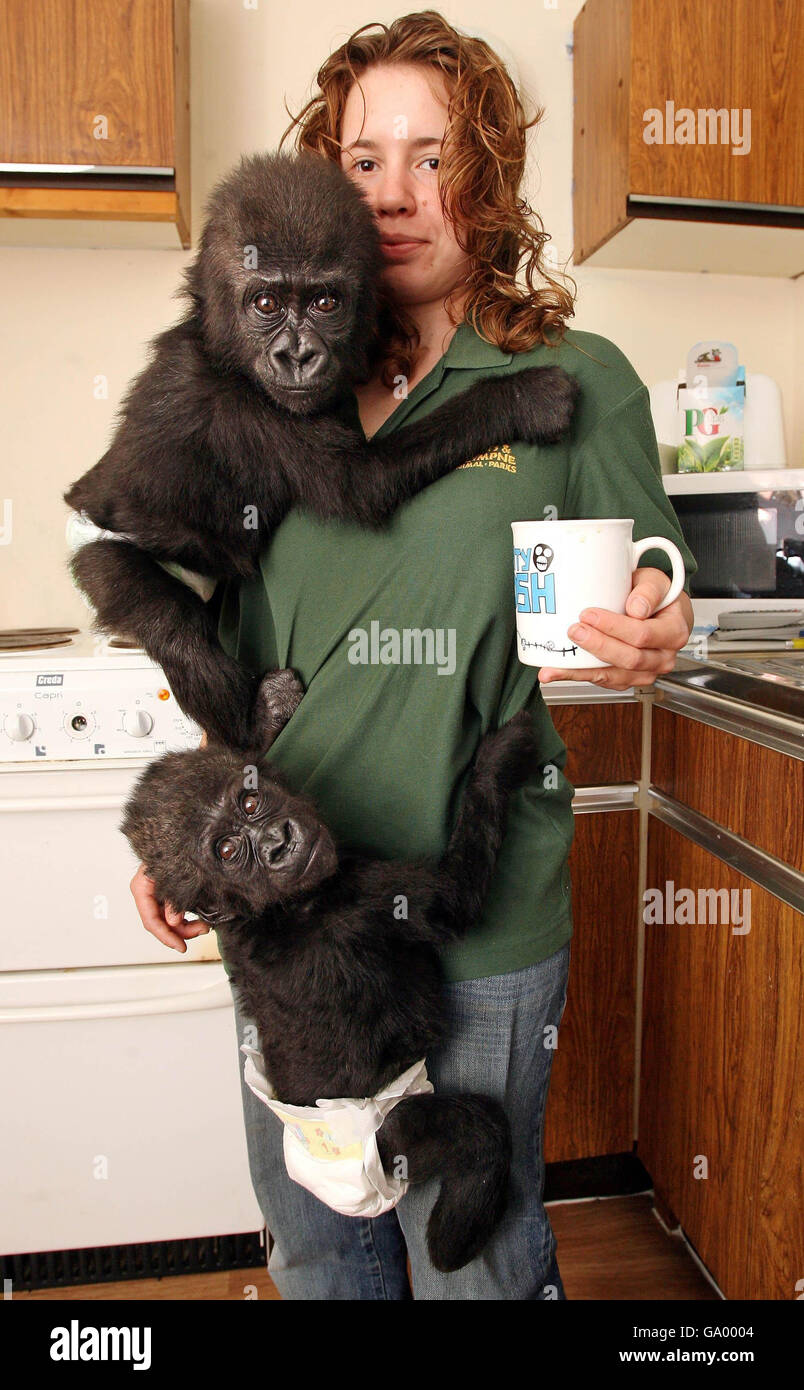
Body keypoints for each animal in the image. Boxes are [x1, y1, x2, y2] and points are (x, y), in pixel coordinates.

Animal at [64, 151, 580, 750]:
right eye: (265, 302)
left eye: (325, 301)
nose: (297, 356)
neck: (221, 348)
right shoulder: (244, 409)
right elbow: (362, 484)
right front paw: (523, 397)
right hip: (100, 551)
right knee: (170, 626)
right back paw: (255, 719)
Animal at [120, 673, 540, 1273]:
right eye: (228, 850)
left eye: (251, 800)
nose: (277, 844)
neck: (266, 911)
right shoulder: (367, 897)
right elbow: (456, 898)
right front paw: (500, 759)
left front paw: (273, 709)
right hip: (382, 1146)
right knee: (467, 1132)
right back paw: (454, 1241)